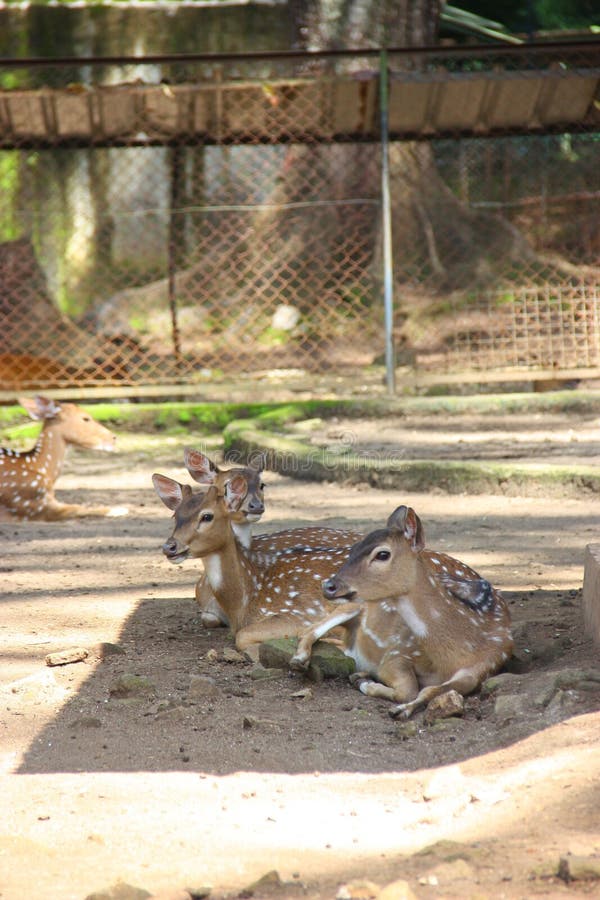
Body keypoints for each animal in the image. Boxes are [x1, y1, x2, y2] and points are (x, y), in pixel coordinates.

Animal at [290, 504, 513, 719]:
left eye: (382, 554)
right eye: (353, 548)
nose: (328, 585)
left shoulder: (480, 670)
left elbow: (431, 690)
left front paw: (395, 704)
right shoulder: (397, 653)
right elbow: (409, 689)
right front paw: (367, 684)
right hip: (352, 605)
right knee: (310, 630)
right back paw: (299, 660)